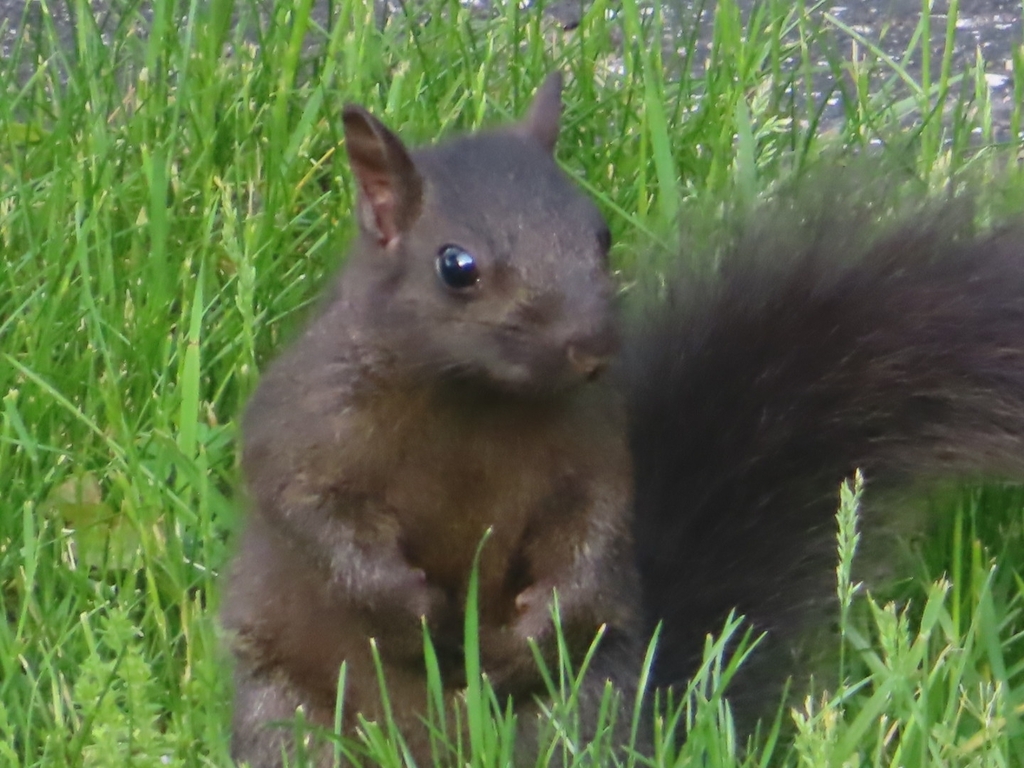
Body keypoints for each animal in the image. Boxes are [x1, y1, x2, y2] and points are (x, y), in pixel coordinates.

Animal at [222, 73, 1024, 766]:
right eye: (456, 267)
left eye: (600, 236)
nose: (593, 346)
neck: (475, 400)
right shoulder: (308, 420)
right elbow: (310, 513)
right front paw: (412, 610)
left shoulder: (594, 450)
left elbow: (595, 531)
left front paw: (530, 637)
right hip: (290, 716)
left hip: (578, 709)